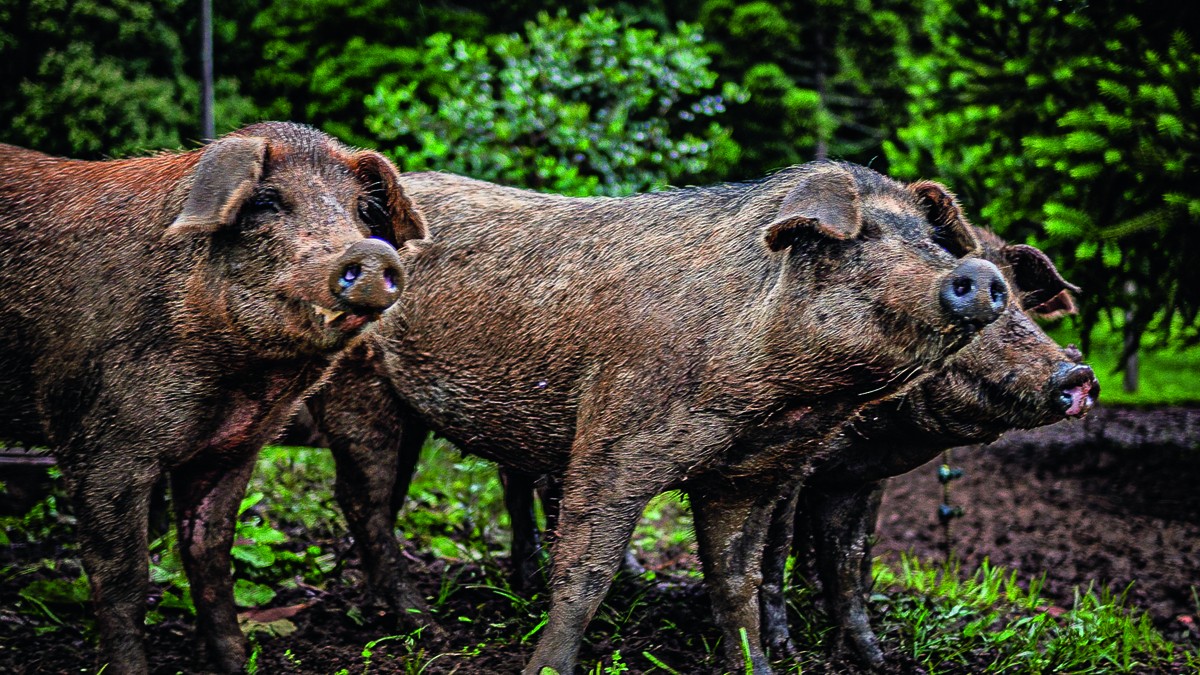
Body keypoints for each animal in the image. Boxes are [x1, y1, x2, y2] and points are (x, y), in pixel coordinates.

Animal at [0, 122, 425, 674]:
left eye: (363, 209)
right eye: (266, 200)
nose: (372, 253)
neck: (241, 380)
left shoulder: (232, 449)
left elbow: (210, 553)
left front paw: (235, 664)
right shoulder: (99, 446)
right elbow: (123, 577)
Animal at [308, 162, 1011, 674]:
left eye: (932, 241)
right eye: (860, 240)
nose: (980, 272)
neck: (780, 399)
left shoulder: (748, 476)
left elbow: (736, 581)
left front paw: (757, 668)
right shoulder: (612, 439)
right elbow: (587, 573)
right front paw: (546, 668)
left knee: (372, 500)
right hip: (356, 388)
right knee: (364, 502)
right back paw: (424, 624)